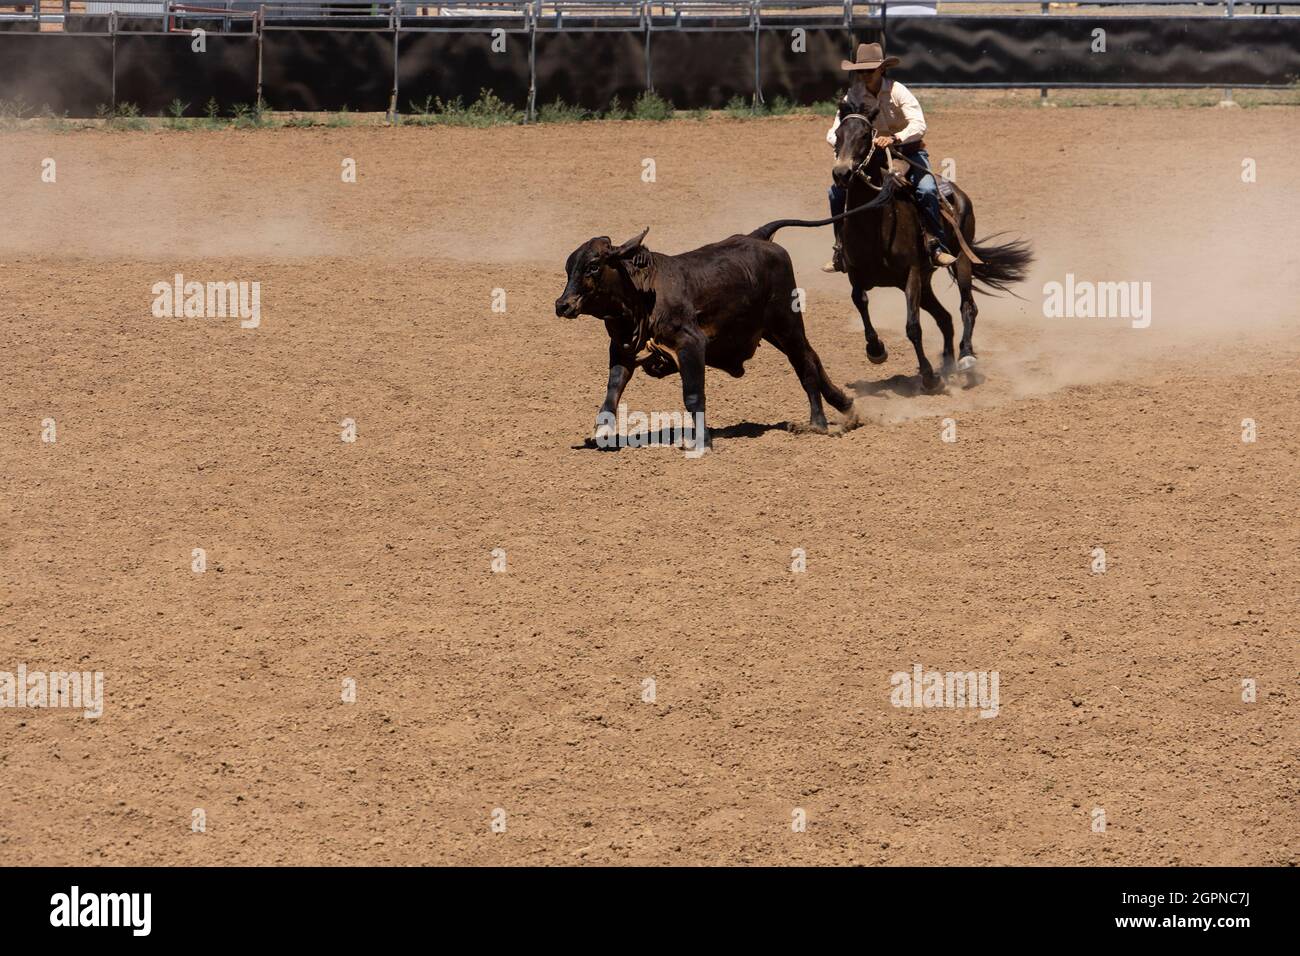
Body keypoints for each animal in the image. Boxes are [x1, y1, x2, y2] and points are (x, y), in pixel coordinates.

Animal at [555, 221, 866, 451]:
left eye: (593, 266)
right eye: (569, 269)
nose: (562, 305)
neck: (644, 293)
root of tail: (759, 237)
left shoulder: (690, 344)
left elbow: (693, 395)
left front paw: (701, 442)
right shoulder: (622, 349)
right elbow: (613, 389)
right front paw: (603, 430)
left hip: (787, 323)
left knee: (805, 365)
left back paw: (817, 423)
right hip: (774, 330)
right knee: (812, 356)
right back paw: (846, 407)